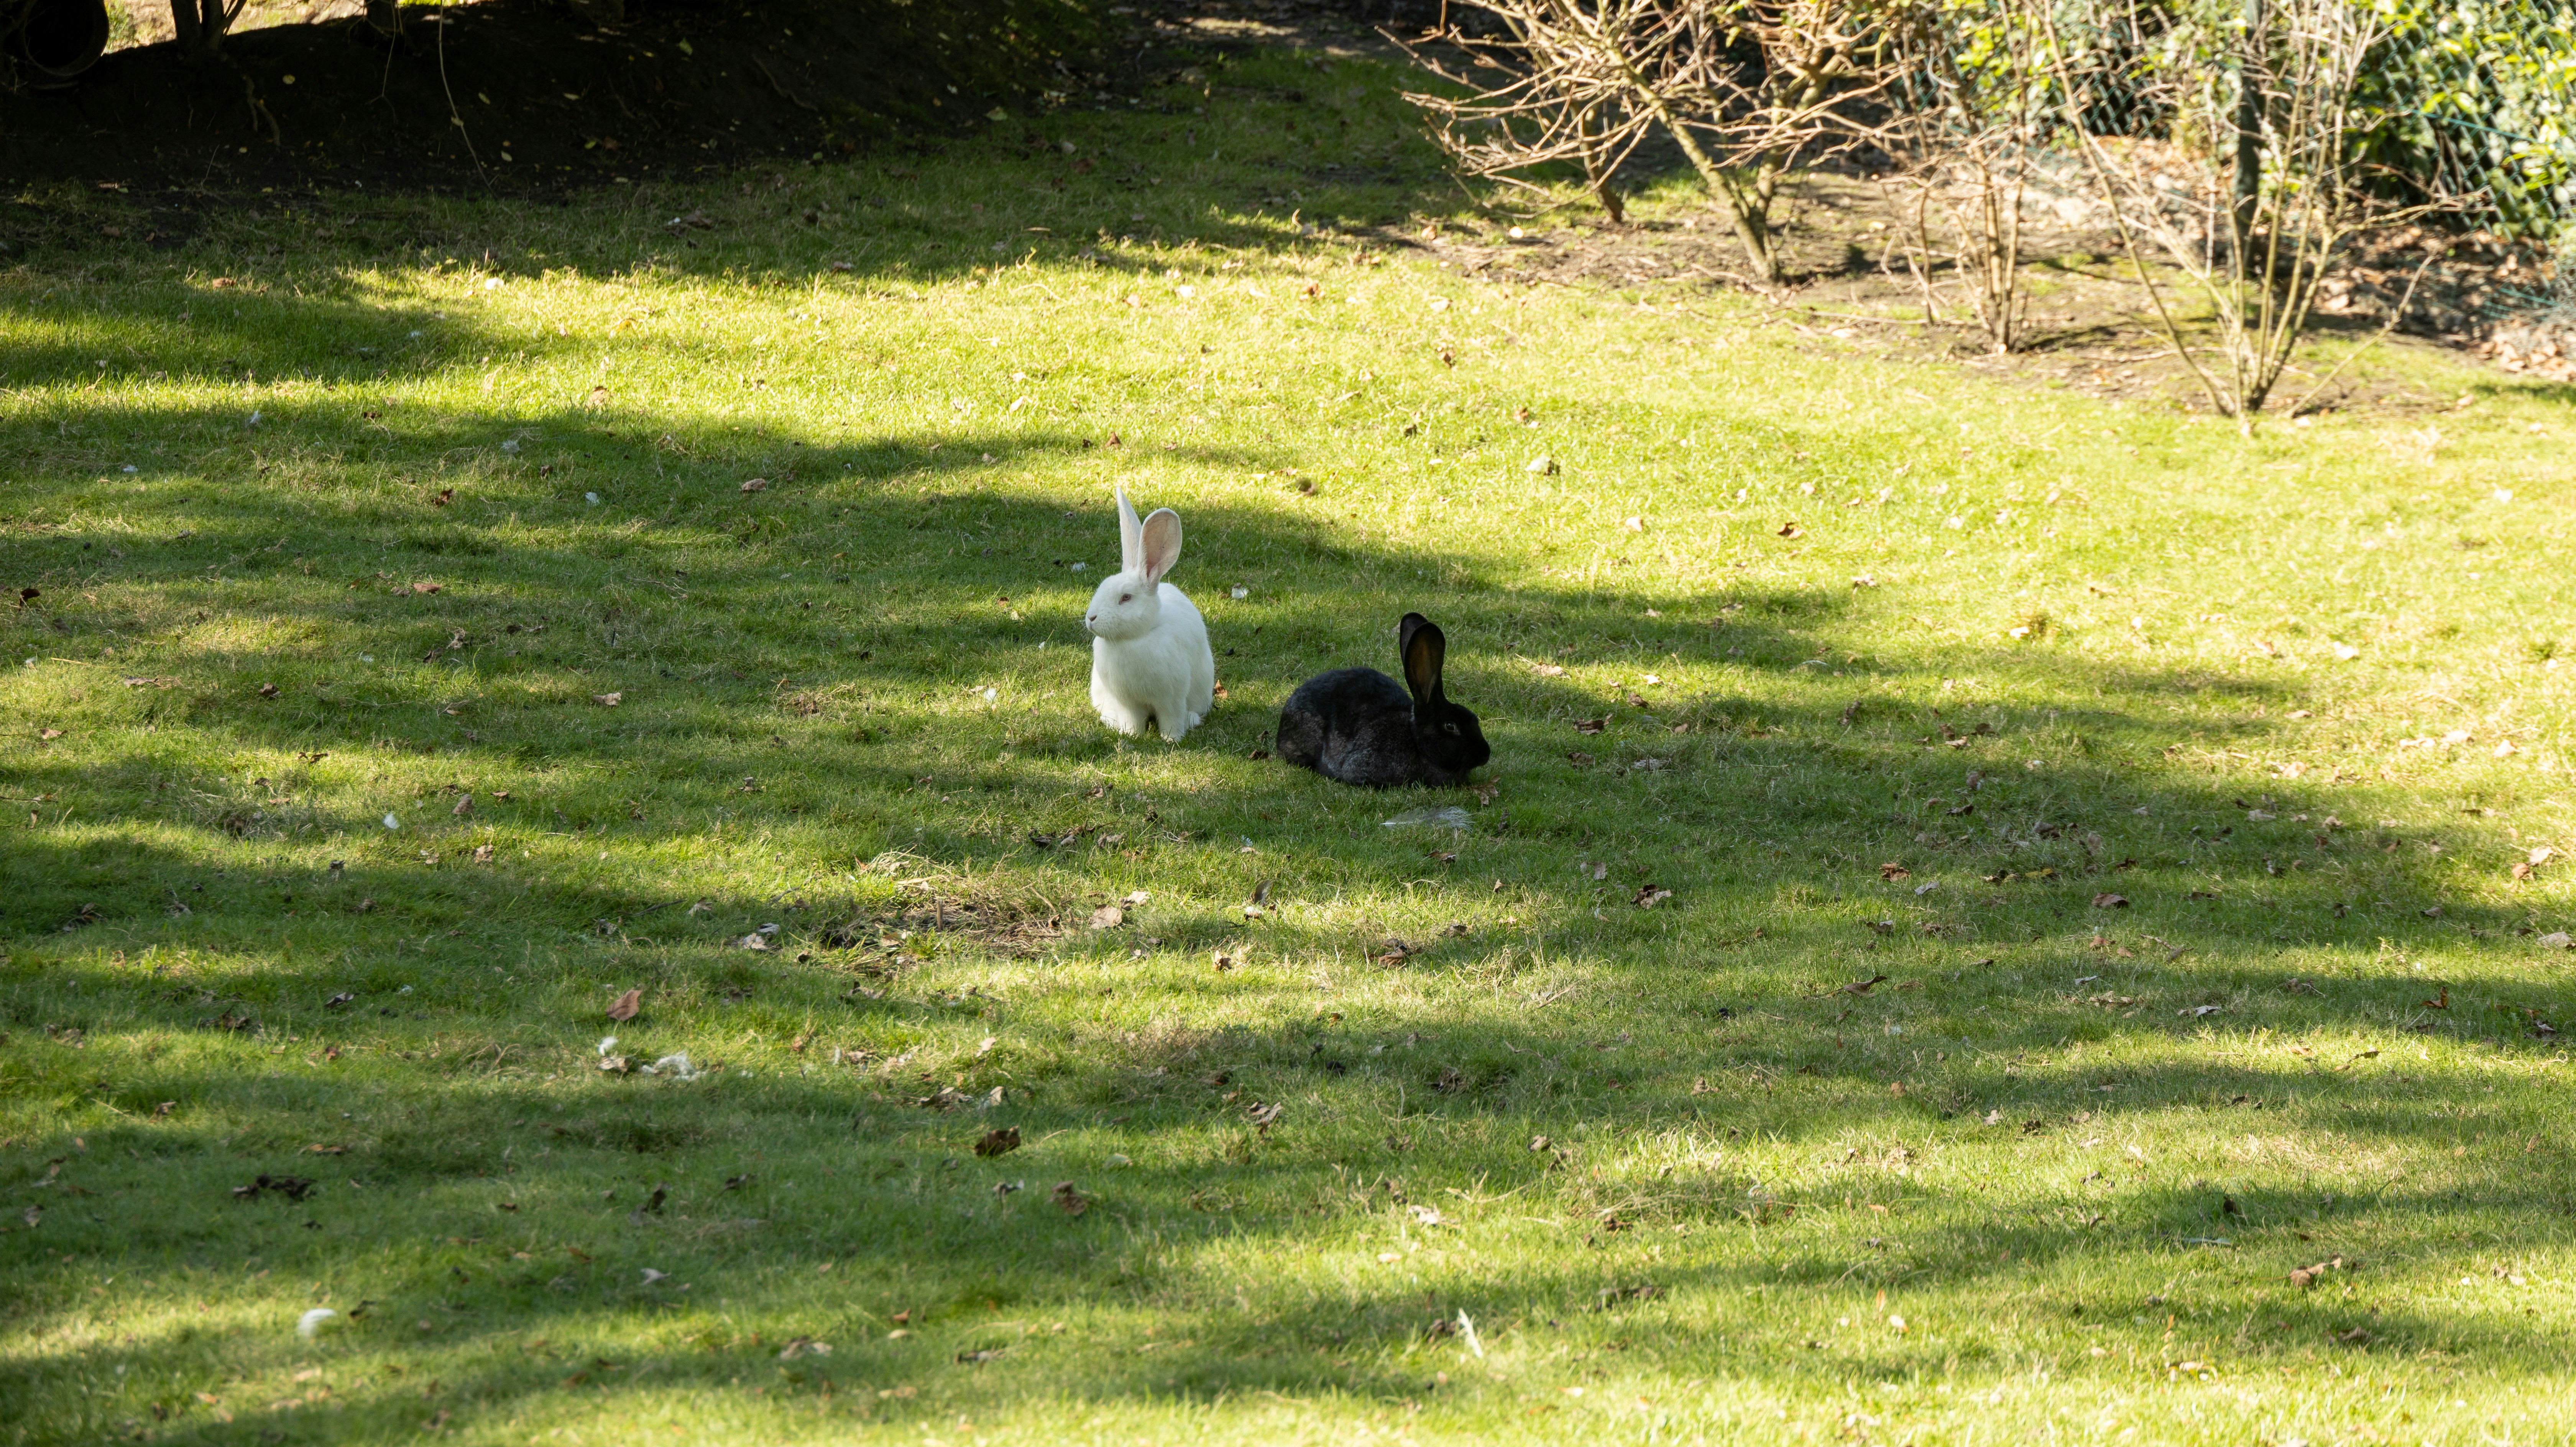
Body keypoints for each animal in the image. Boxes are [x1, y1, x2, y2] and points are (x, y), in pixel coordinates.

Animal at [1085, 485, 1215, 742]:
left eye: (1126, 598)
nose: (1091, 619)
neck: (1136, 638)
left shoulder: (1172, 699)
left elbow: (1172, 719)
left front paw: (1172, 740)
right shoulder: (1127, 703)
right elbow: (1133, 720)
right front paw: (1131, 735)